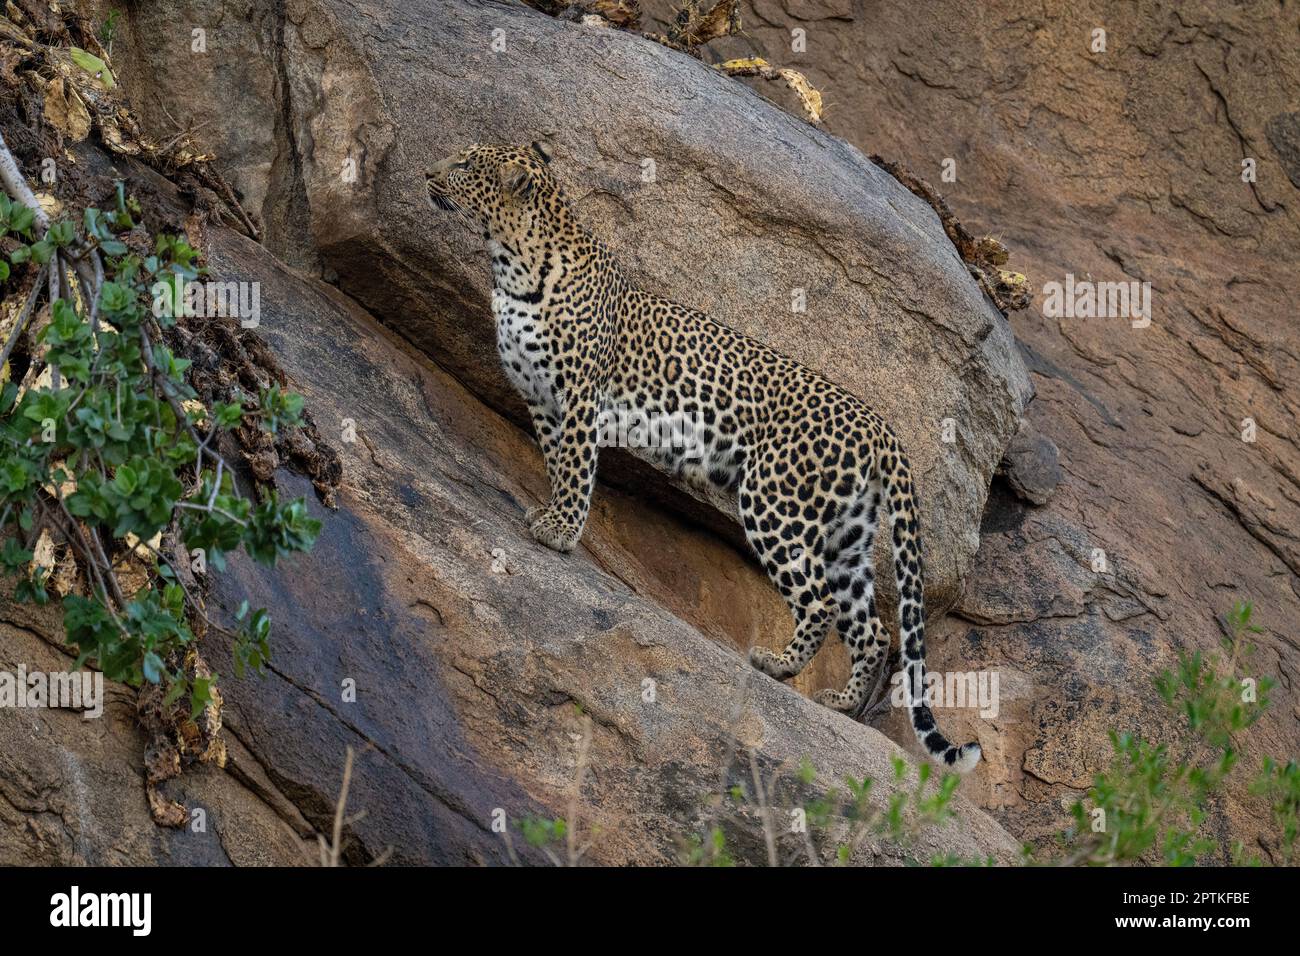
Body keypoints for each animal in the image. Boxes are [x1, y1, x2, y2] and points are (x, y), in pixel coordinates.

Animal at [427, 142, 982, 772]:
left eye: (466, 167)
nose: (429, 174)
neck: (510, 264)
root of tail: (881, 427)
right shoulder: (541, 402)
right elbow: (557, 466)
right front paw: (550, 514)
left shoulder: (579, 400)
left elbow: (576, 469)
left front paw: (560, 533)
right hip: (846, 535)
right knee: (873, 630)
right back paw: (840, 703)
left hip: (775, 503)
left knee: (818, 602)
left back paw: (777, 665)